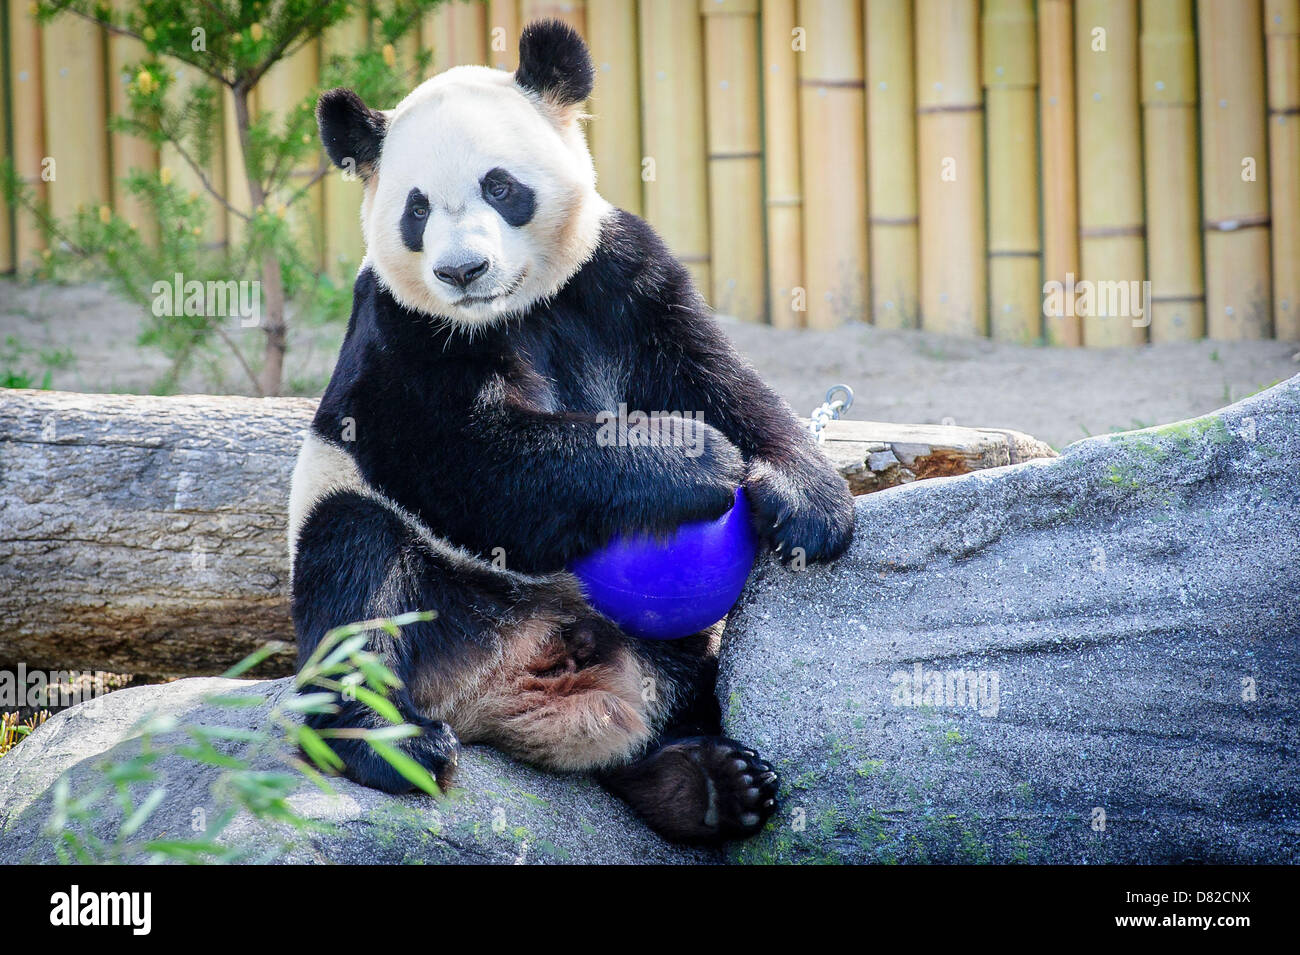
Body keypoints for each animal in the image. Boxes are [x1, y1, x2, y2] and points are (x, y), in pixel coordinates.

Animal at [290, 19, 854, 844]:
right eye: (416, 209)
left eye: (500, 186)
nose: (462, 270)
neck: (513, 305)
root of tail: (500, 685)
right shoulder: (401, 327)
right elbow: (464, 457)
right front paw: (693, 459)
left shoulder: (616, 273)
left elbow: (716, 380)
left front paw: (811, 505)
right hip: (410, 567)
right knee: (354, 572)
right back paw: (392, 743)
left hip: (660, 640)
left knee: (683, 691)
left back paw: (709, 786)